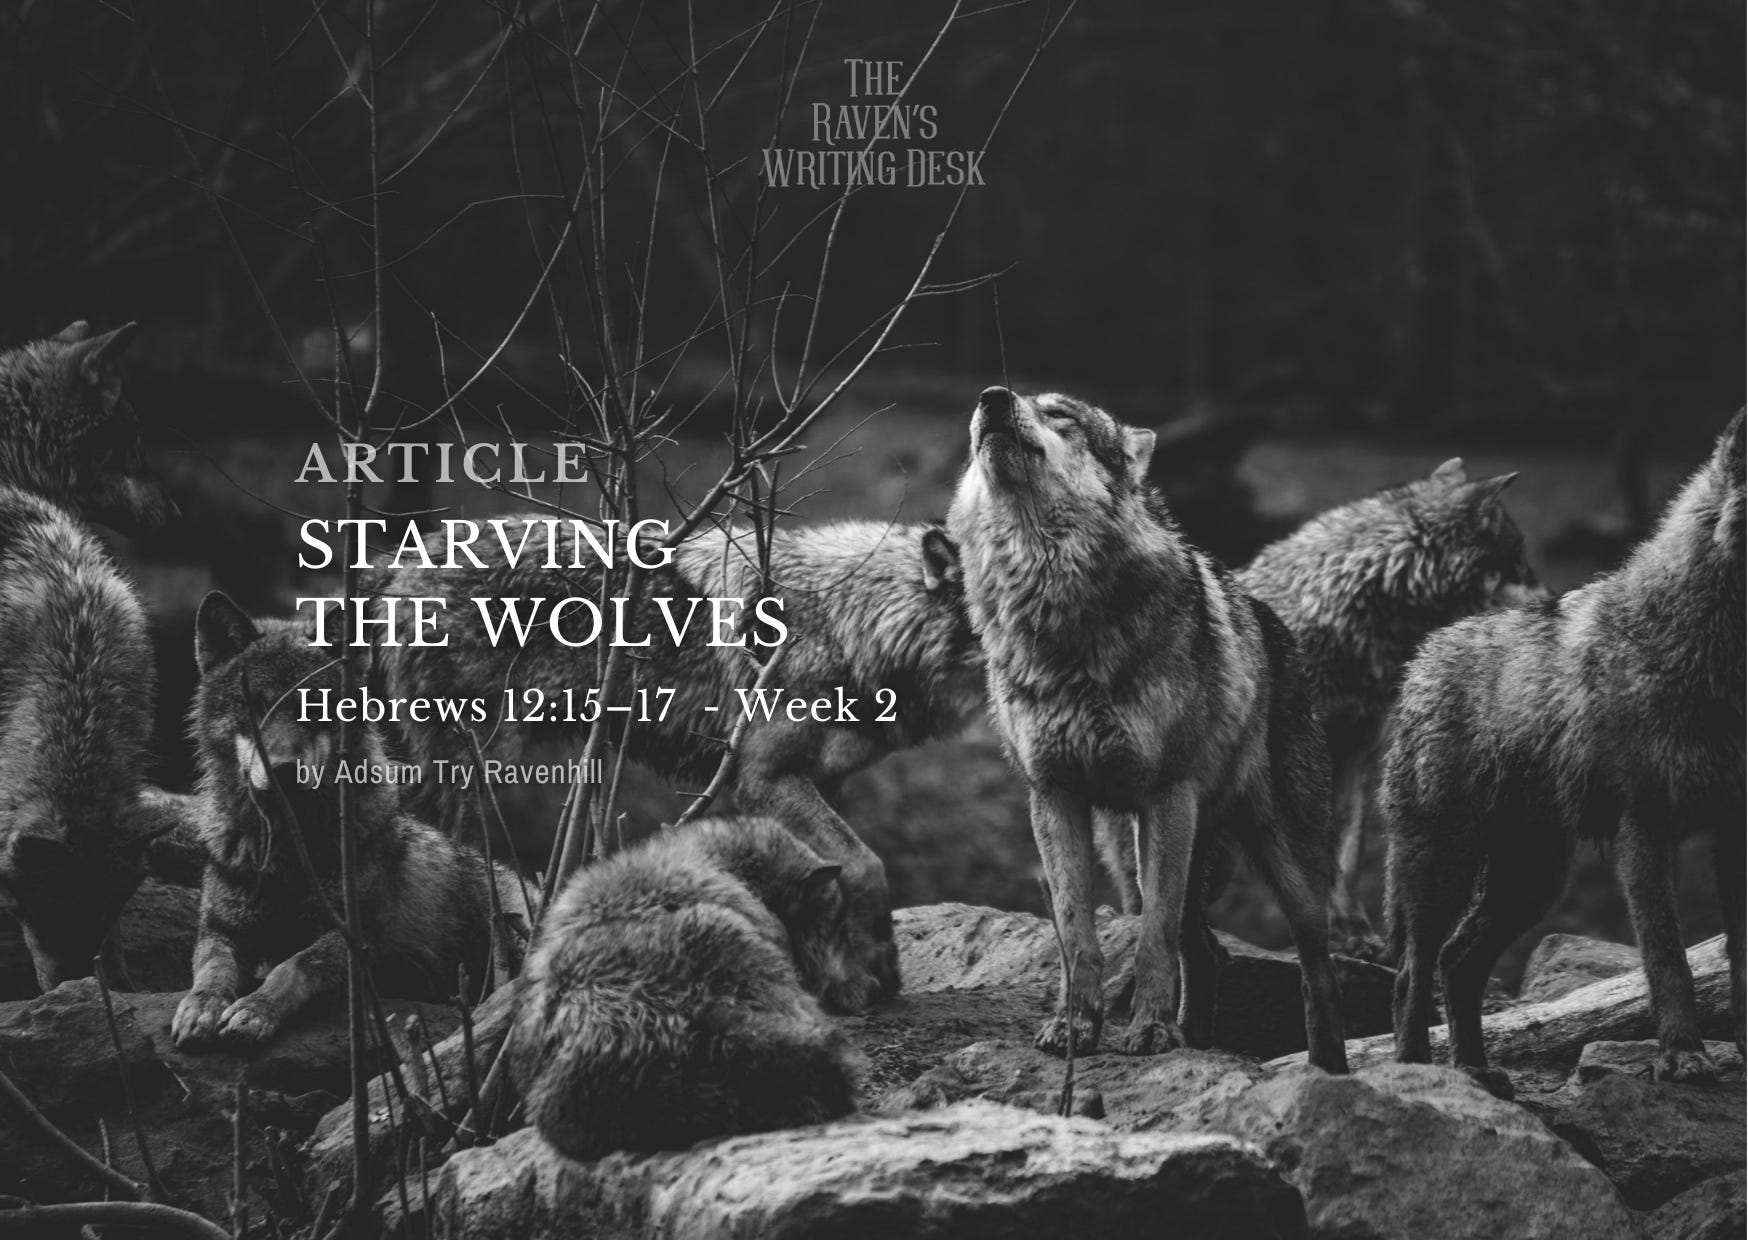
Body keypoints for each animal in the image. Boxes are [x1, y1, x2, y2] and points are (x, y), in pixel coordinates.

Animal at [171, 591, 531, 1048]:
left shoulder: (355, 939)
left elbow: (291, 966)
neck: (289, 849)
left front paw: (255, 1010)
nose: (284, 769)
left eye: (314, 707)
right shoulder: (221, 930)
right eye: (256, 705)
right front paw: (200, 1007)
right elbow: (212, 969)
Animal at [367, 518, 984, 1009]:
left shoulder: (825, 781)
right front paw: (874, 974)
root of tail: (398, 564)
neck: (849, 622)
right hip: (480, 773)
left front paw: (859, 974)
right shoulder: (763, 777)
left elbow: (839, 877)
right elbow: (867, 864)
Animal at [946, 386, 1348, 1072]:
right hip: (1142, 849)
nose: (992, 398)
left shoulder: (1165, 796)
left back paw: (1328, 1068)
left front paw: (1153, 1032)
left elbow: (1152, 940)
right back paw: (1200, 1040)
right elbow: (1076, 933)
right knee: (1208, 951)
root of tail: (1273, 622)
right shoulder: (1052, 797)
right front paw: (1075, 1027)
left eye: (1061, 415)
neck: (1053, 604)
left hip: (1280, 862)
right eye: (998, 402)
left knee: (1314, 969)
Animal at [1384, 410, 1745, 1097]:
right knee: (1413, 968)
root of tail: (1422, 656)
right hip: (1446, 868)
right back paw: (1422, 1071)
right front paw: (1682, 1056)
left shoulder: (1730, 831)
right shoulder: (1643, 829)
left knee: (1456, 960)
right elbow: (1669, 959)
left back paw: (1475, 1070)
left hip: (1532, 881)